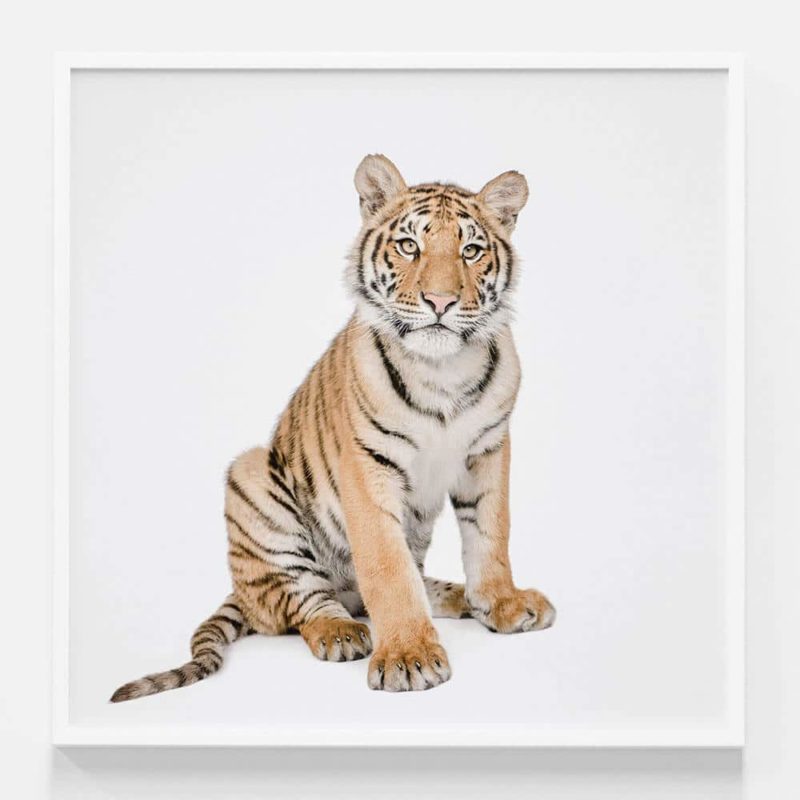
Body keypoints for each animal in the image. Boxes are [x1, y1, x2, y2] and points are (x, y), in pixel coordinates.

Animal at [110, 154, 555, 700]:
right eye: (410, 246)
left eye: (470, 250)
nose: (440, 302)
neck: (441, 370)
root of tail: (239, 591)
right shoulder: (367, 465)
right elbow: (386, 567)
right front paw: (408, 656)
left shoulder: (487, 451)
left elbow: (491, 536)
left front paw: (502, 603)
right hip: (252, 478)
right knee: (300, 603)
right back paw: (341, 631)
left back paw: (454, 596)